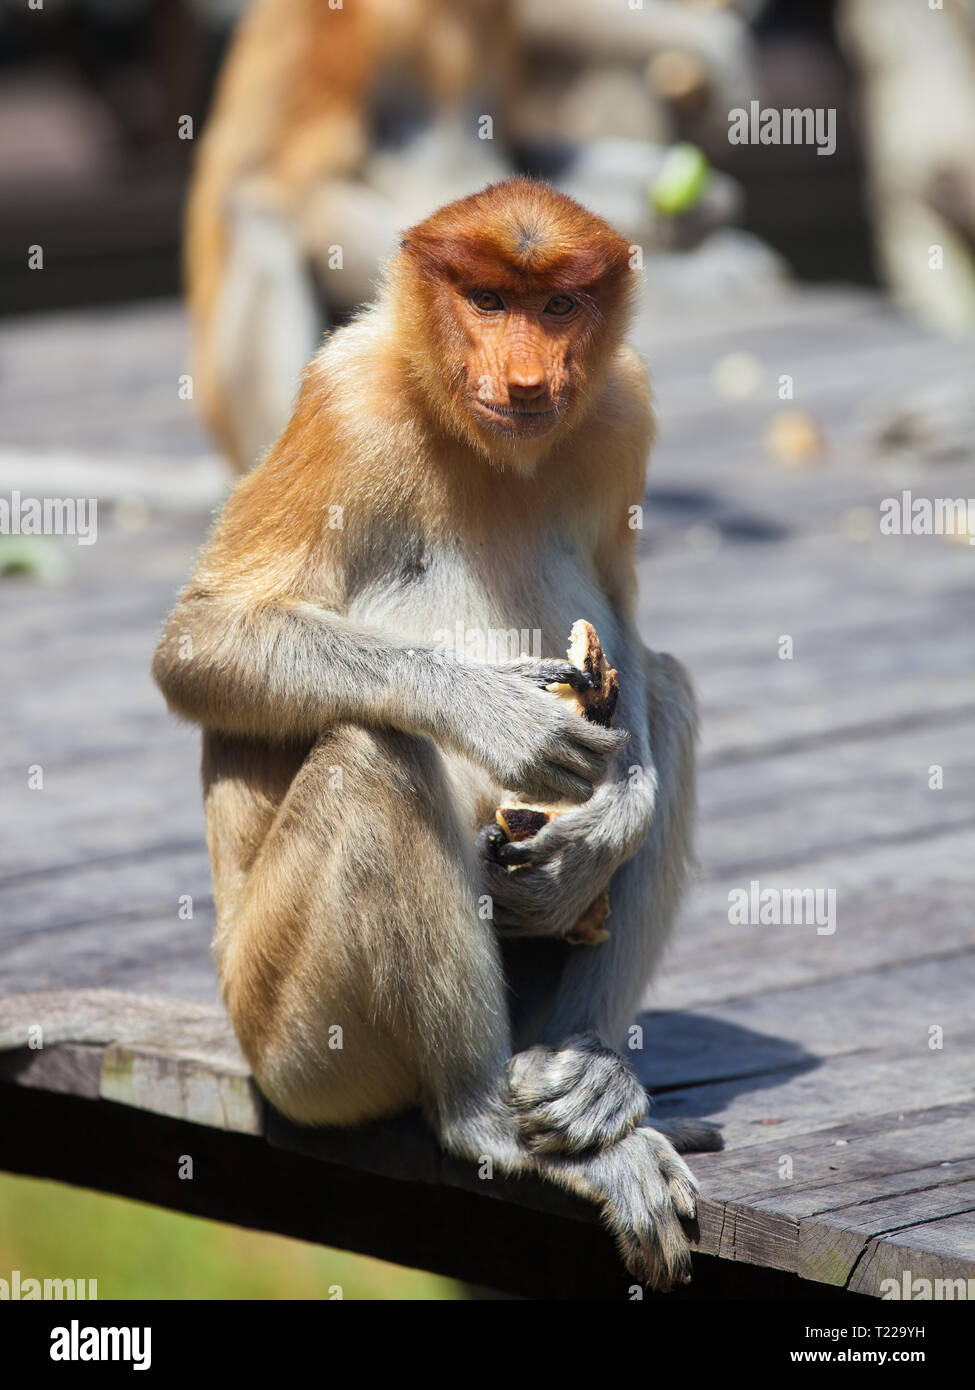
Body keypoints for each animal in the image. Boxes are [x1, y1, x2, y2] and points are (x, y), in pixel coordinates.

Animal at [155, 178, 719, 1290]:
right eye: (488, 299)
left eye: (558, 307)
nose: (529, 377)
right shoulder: (343, 400)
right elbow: (204, 640)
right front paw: (498, 714)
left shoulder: (621, 407)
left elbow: (628, 637)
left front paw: (606, 824)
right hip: (293, 1041)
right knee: (376, 755)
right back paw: (485, 1117)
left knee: (670, 694)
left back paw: (587, 1072)